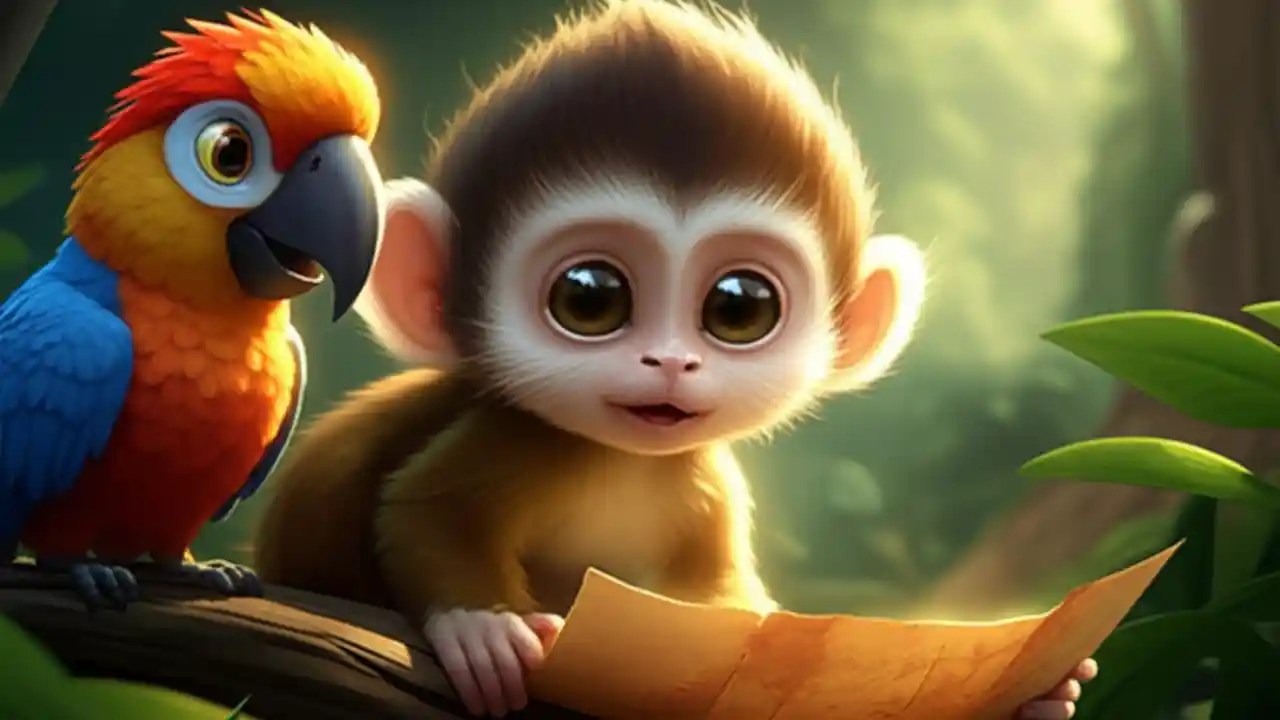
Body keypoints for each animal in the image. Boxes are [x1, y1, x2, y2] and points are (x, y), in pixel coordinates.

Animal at [254, 2, 1097, 718]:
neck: (624, 459)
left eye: (739, 308)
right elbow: (423, 511)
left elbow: (717, 602)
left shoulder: (705, 479)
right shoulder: (516, 438)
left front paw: (1041, 694)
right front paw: (484, 631)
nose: (670, 362)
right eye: (589, 298)